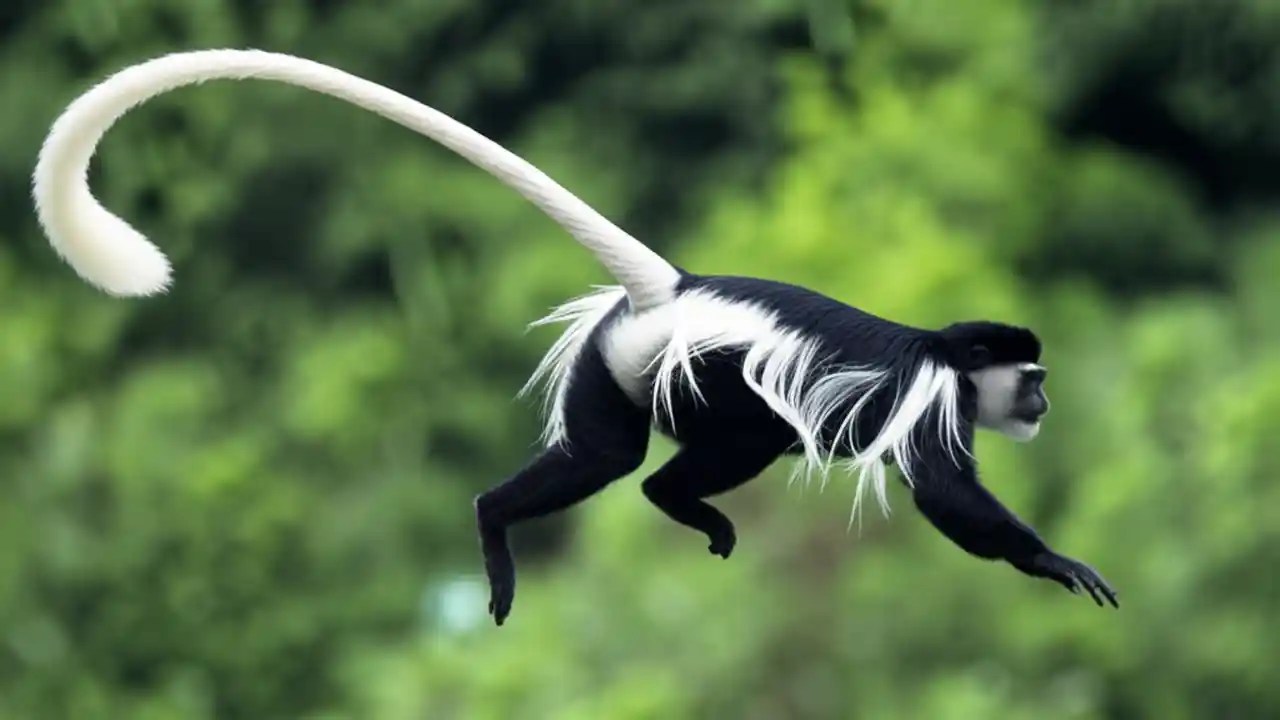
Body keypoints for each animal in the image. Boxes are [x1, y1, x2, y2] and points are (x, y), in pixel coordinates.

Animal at [33, 50, 1118, 628]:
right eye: (1028, 379)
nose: (1043, 402)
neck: (945, 356)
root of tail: (671, 287)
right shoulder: (932, 400)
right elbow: (945, 497)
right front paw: (1056, 564)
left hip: (628, 368)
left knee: (641, 458)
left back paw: (676, 506)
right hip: (680, 371)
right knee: (632, 453)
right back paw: (496, 523)